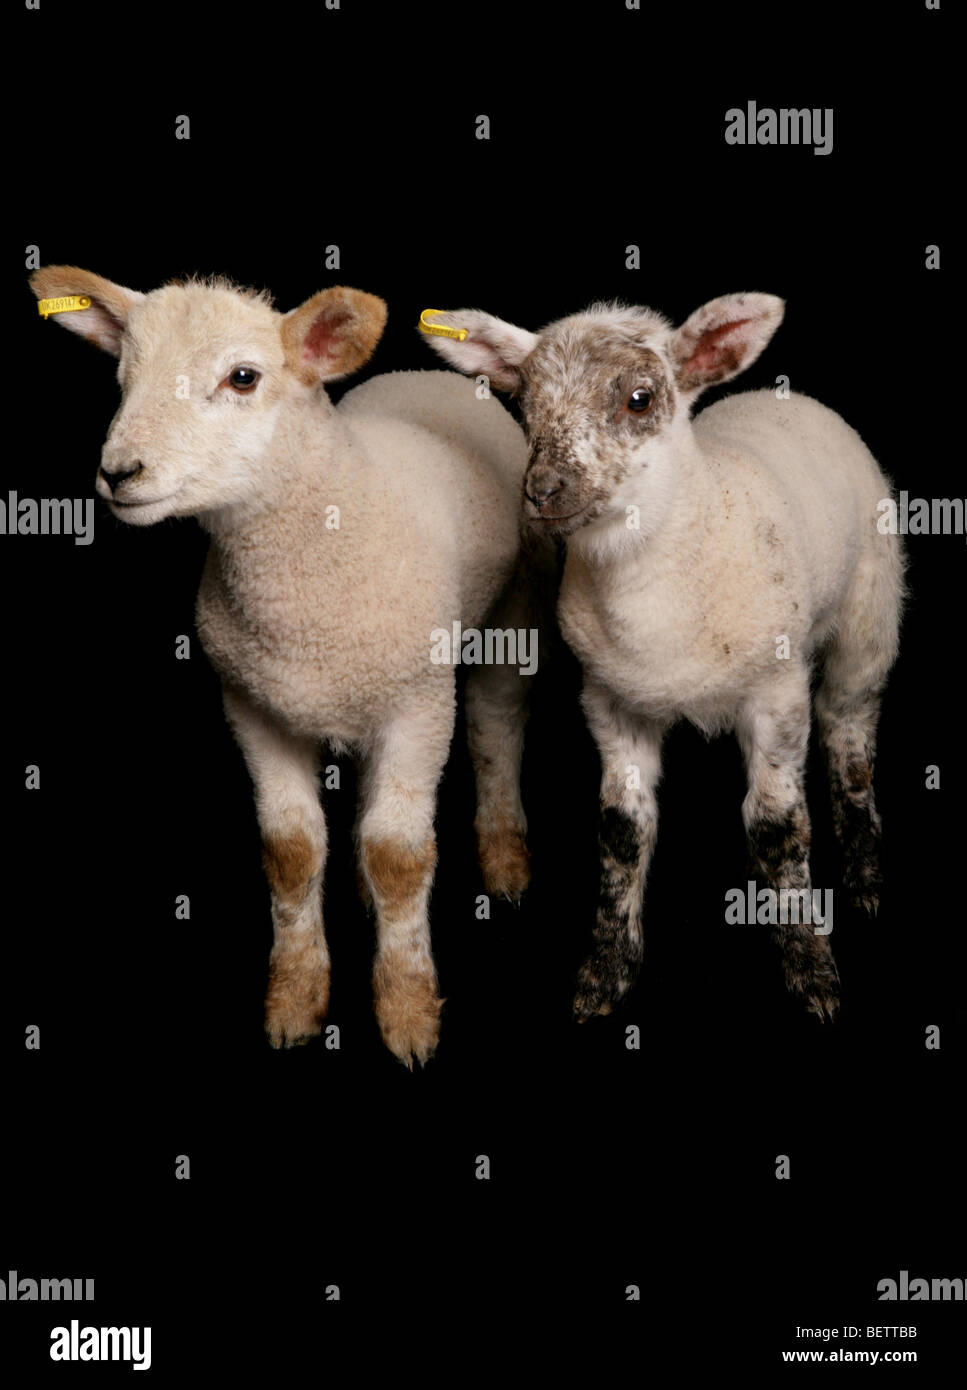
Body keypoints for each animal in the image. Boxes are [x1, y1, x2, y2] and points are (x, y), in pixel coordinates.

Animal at [30, 266, 538, 1066]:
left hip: (508, 610)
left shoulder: (418, 705)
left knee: (495, 726)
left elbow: (400, 857)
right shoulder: (252, 704)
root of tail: (427, 375)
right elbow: (291, 852)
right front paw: (296, 999)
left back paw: (505, 859)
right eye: (123, 376)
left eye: (243, 377)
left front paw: (406, 1010)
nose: (118, 473)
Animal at [423, 293, 905, 1022]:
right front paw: (604, 972)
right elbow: (622, 829)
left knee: (849, 733)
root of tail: (790, 397)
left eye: (639, 399)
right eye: (526, 402)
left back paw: (864, 875)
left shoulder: (777, 693)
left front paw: (810, 966)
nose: (543, 489)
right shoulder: (610, 699)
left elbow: (778, 827)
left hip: (867, 615)